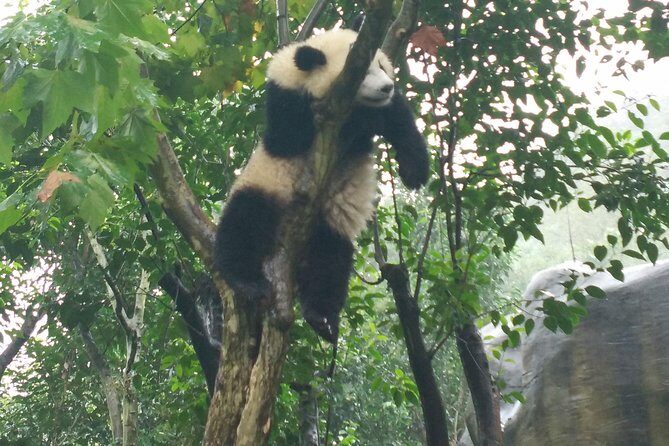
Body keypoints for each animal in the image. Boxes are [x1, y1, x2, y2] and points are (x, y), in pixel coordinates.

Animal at [214, 28, 429, 343]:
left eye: (381, 65)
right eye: (363, 72)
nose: (387, 87)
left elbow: (400, 124)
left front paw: (414, 172)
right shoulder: (286, 102)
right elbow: (292, 135)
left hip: (328, 219)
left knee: (329, 258)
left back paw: (322, 318)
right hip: (266, 184)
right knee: (245, 220)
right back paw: (247, 282)